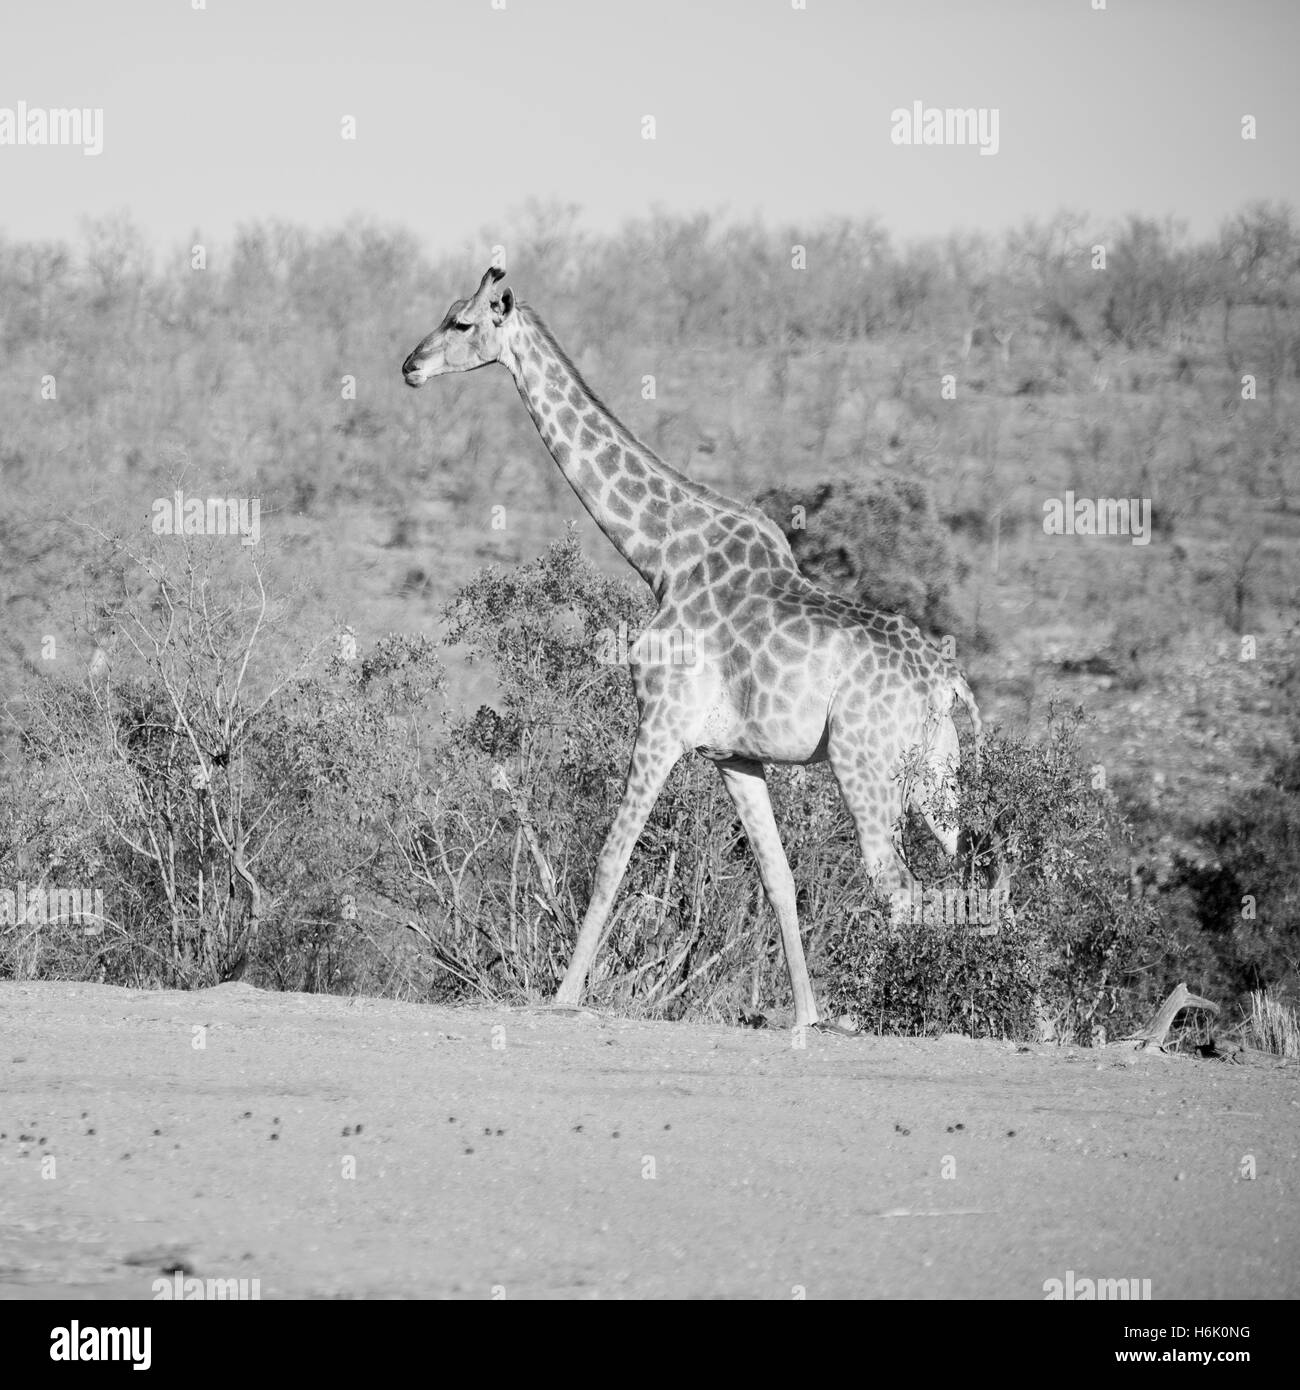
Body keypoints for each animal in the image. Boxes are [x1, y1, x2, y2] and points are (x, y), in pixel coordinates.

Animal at [402, 265, 982, 1029]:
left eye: (463, 322)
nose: (409, 366)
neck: (661, 555)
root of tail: (944, 681)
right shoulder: (734, 755)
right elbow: (779, 879)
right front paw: (805, 1014)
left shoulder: (661, 723)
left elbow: (611, 859)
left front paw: (563, 995)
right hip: (936, 778)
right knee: (957, 876)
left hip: (866, 765)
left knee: (900, 884)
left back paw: (900, 1014)